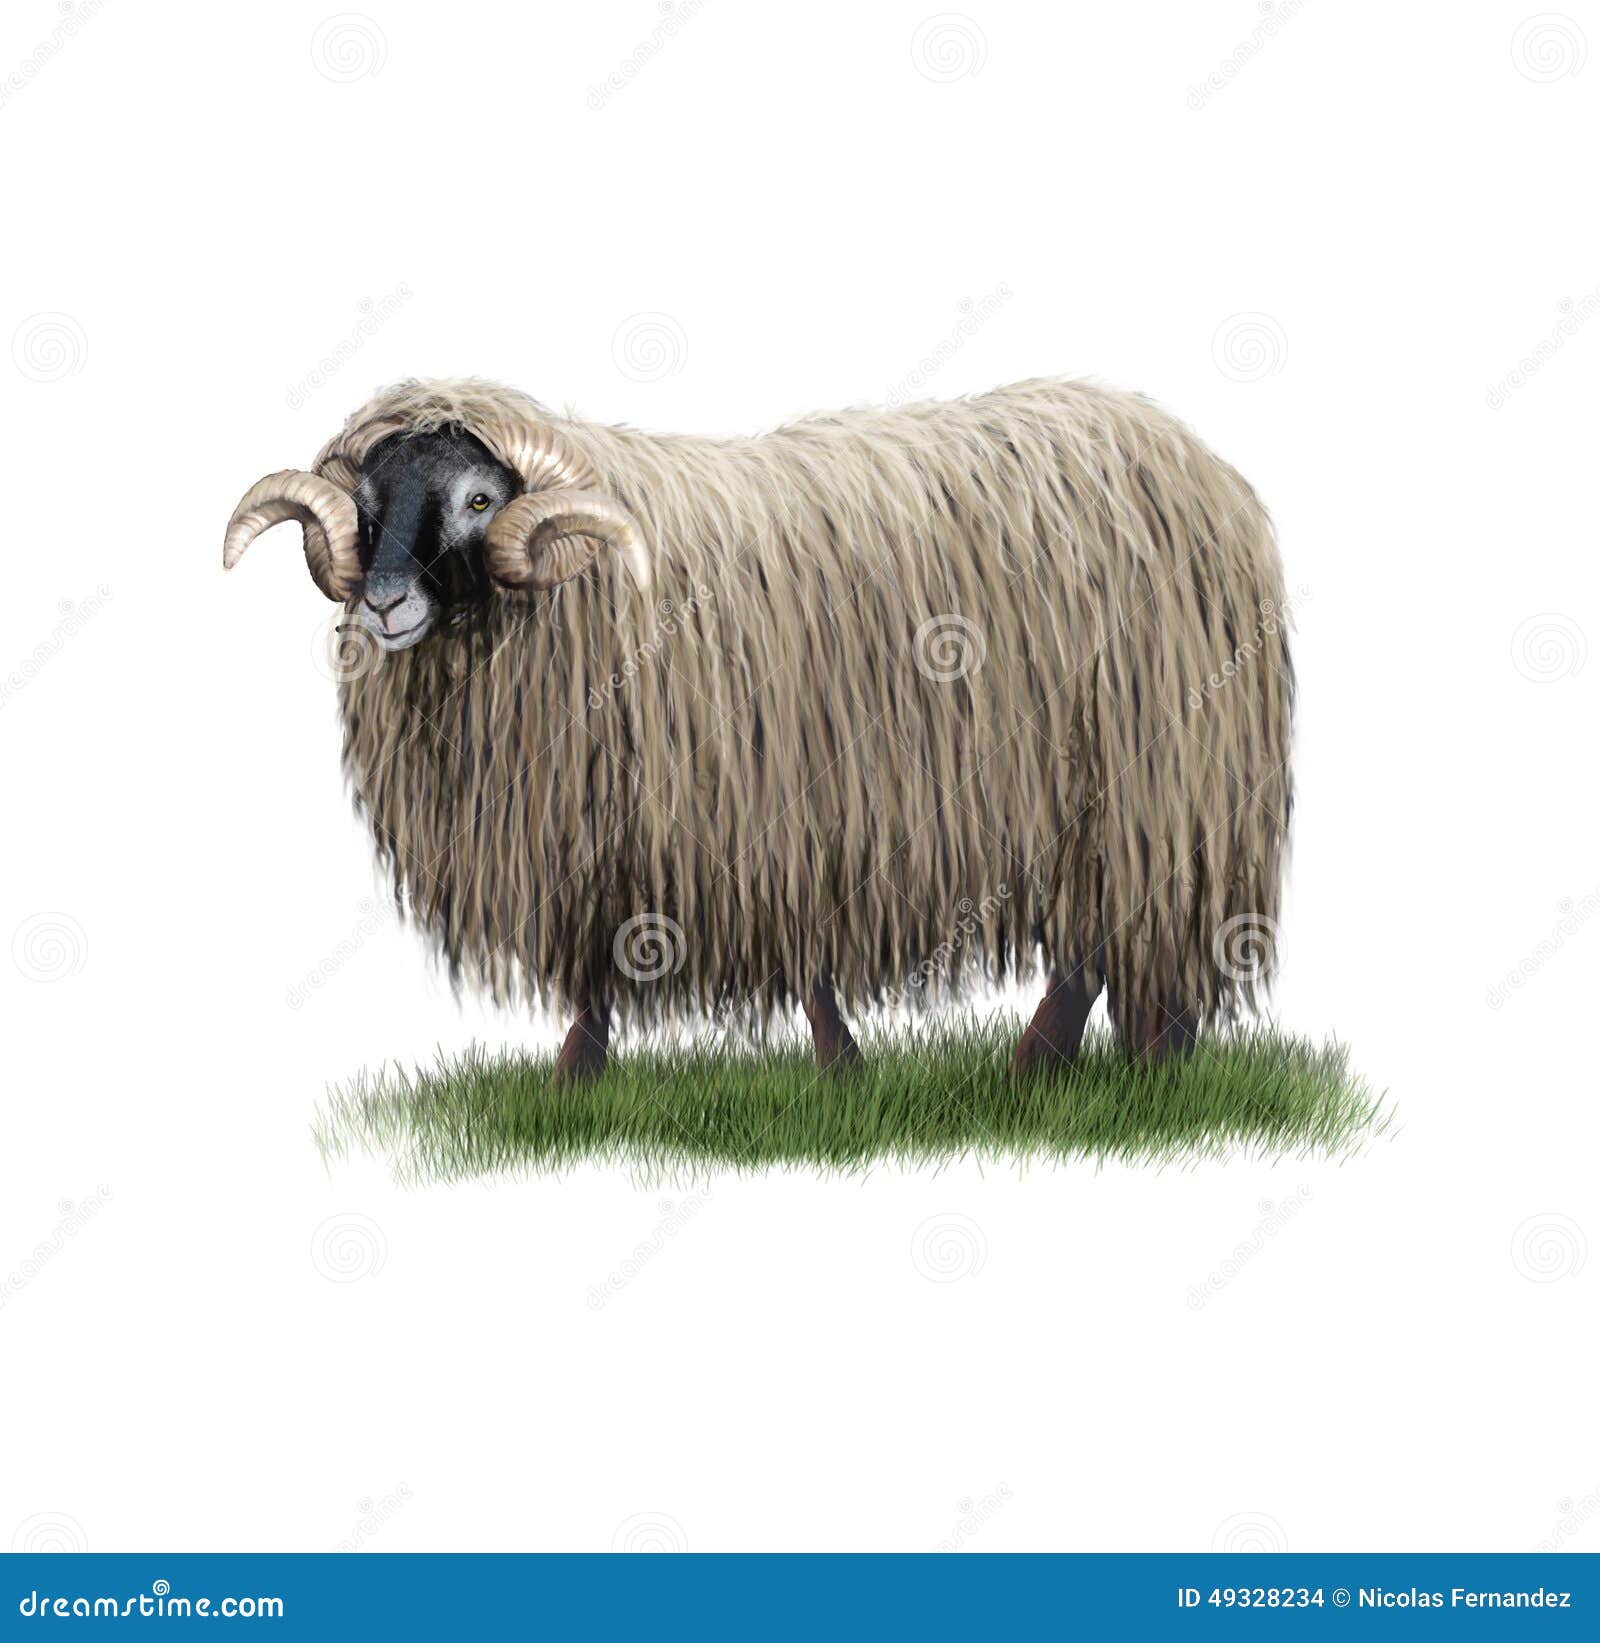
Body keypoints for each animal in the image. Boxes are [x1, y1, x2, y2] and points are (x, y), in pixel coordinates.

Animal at [223, 375, 1293, 1080]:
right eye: (366, 505)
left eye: (480, 499)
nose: (383, 604)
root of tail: (1195, 455)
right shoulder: (604, 827)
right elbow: (596, 967)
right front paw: (577, 1079)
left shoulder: (770, 805)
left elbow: (802, 958)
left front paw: (840, 1069)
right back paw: (1092, 1062)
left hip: (1155, 770)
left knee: (1111, 933)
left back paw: (1068, 1067)